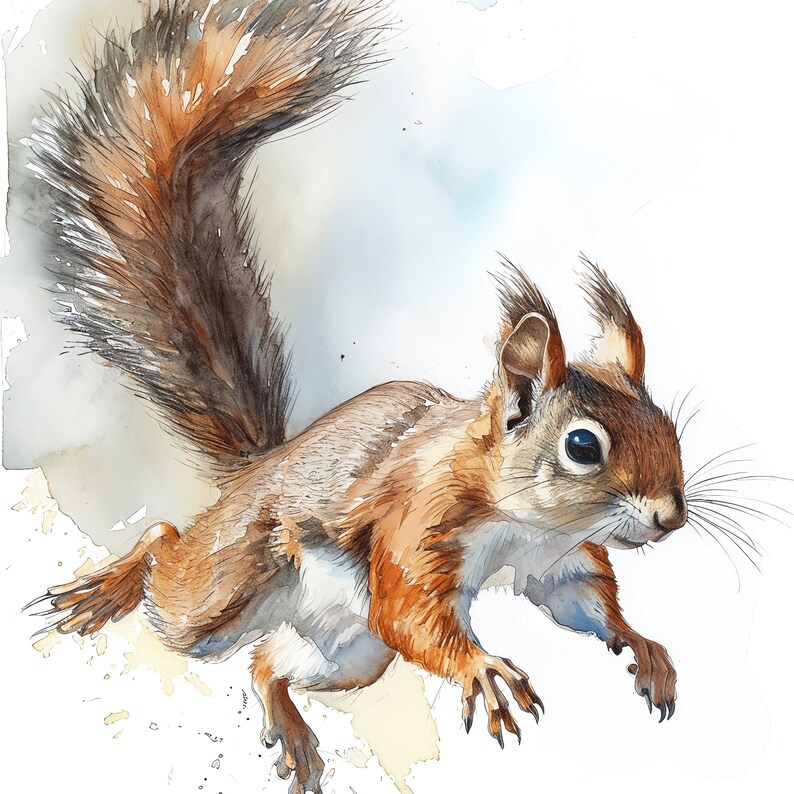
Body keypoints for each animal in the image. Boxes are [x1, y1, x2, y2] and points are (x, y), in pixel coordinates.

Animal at [26, 2, 689, 792]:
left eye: (670, 430)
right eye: (583, 445)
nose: (671, 518)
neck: (520, 517)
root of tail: (259, 469)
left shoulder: (554, 561)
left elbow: (580, 599)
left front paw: (642, 644)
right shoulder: (420, 524)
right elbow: (413, 614)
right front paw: (483, 669)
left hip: (350, 653)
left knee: (267, 664)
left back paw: (290, 727)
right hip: (222, 588)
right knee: (169, 560)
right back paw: (112, 584)